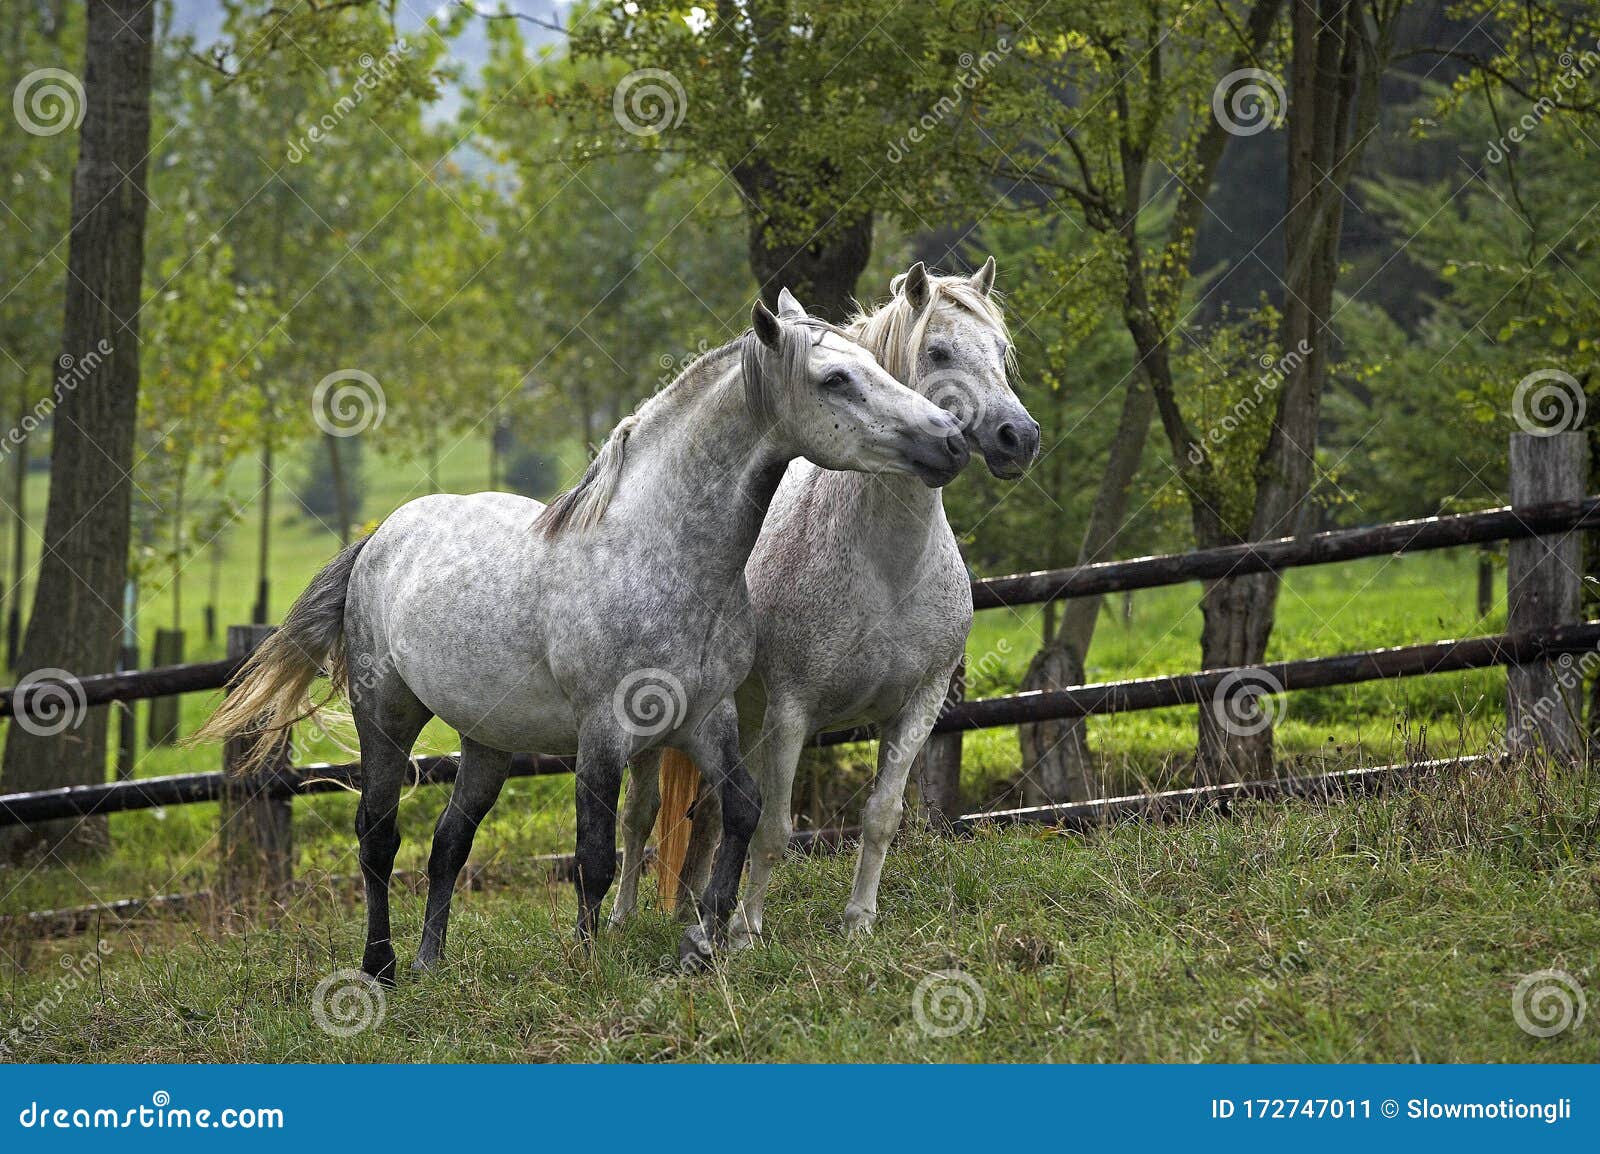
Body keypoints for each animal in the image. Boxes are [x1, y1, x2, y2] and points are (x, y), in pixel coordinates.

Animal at [196, 295, 971, 977]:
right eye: (834, 378)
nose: (951, 441)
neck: (659, 556)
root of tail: (381, 537)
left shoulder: (708, 720)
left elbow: (743, 810)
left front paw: (703, 942)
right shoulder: (603, 734)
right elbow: (595, 857)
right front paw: (590, 959)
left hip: (488, 743)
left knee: (449, 842)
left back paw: (430, 962)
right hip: (385, 717)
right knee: (379, 837)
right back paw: (380, 966)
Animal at [611, 258, 1039, 942]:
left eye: (1001, 350)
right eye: (940, 351)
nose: (1017, 437)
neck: (888, 568)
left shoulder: (918, 708)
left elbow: (881, 815)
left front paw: (858, 921)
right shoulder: (791, 714)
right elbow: (774, 828)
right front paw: (748, 931)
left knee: (706, 814)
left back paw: (693, 910)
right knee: (642, 812)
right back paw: (626, 917)